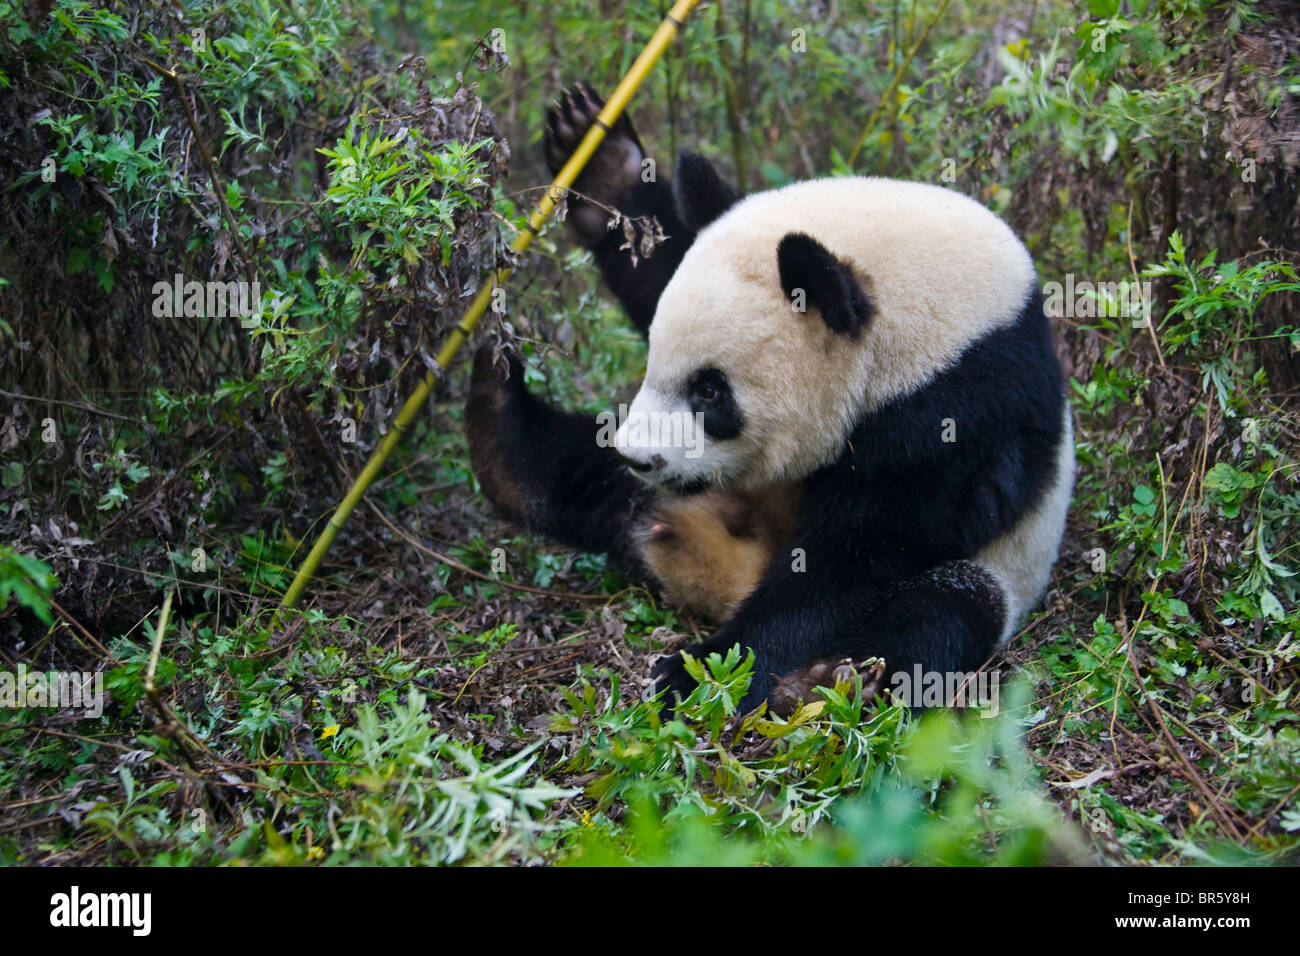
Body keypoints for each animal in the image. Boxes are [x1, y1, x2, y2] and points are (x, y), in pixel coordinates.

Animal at [466, 83, 1074, 715]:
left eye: (710, 391)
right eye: (655, 354)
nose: (638, 456)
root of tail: (734, 573)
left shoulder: (964, 402)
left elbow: (865, 552)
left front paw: (703, 672)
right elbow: (659, 262)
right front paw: (605, 159)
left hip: (1009, 566)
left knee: (946, 607)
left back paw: (840, 675)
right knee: (583, 472)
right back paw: (498, 424)